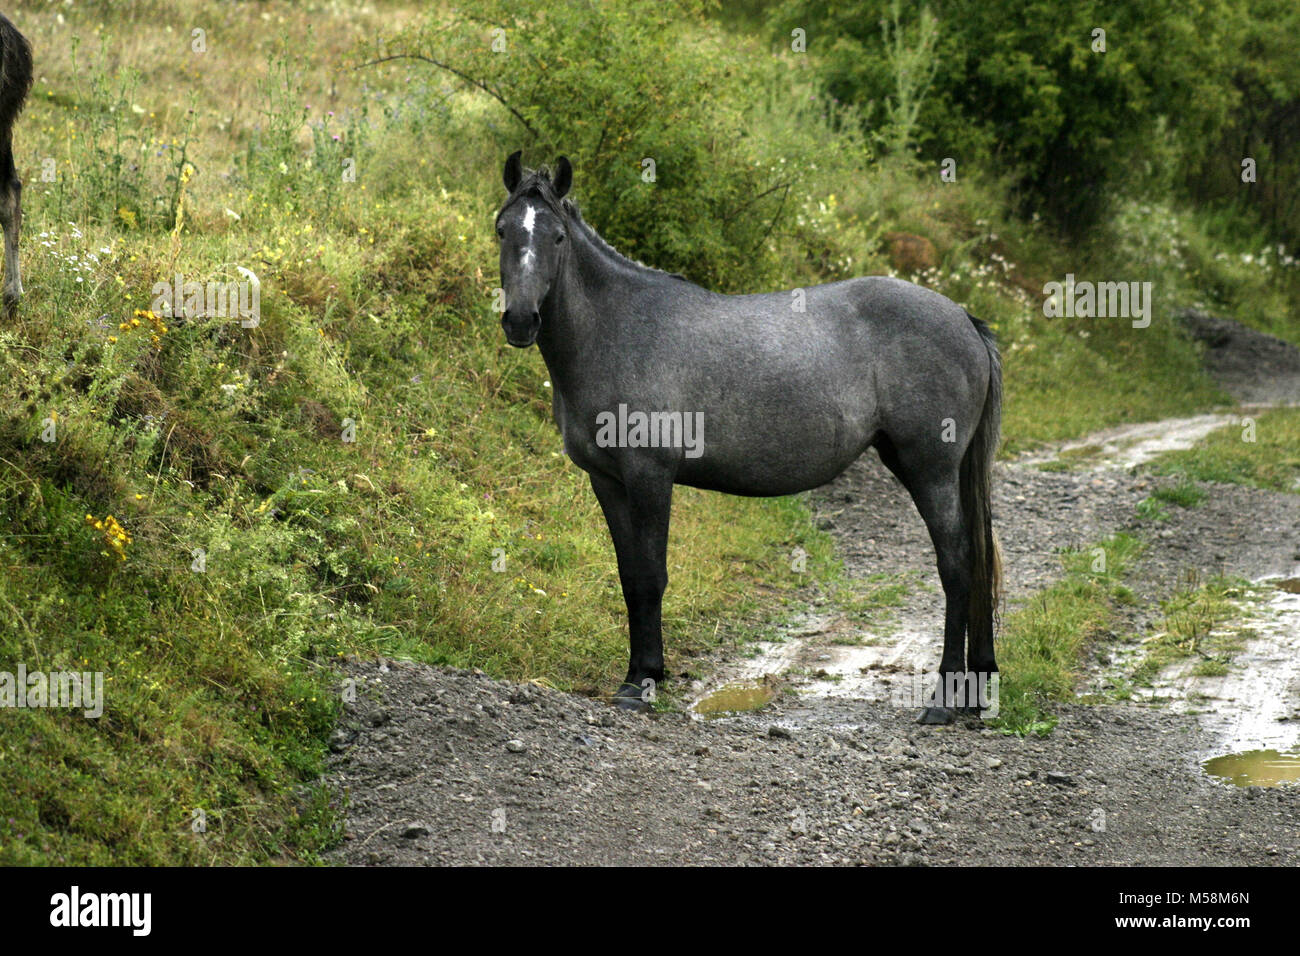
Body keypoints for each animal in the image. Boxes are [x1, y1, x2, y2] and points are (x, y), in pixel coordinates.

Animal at [493, 152, 1002, 724]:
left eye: (557, 237)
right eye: (503, 229)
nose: (520, 320)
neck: (618, 331)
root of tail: (963, 318)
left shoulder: (649, 477)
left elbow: (650, 576)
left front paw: (643, 682)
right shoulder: (607, 480)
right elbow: (628, 577)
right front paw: (638, 675)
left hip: (930, 469)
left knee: (957, 564)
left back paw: (943, 701)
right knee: (978, 560)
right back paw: (976, 689)